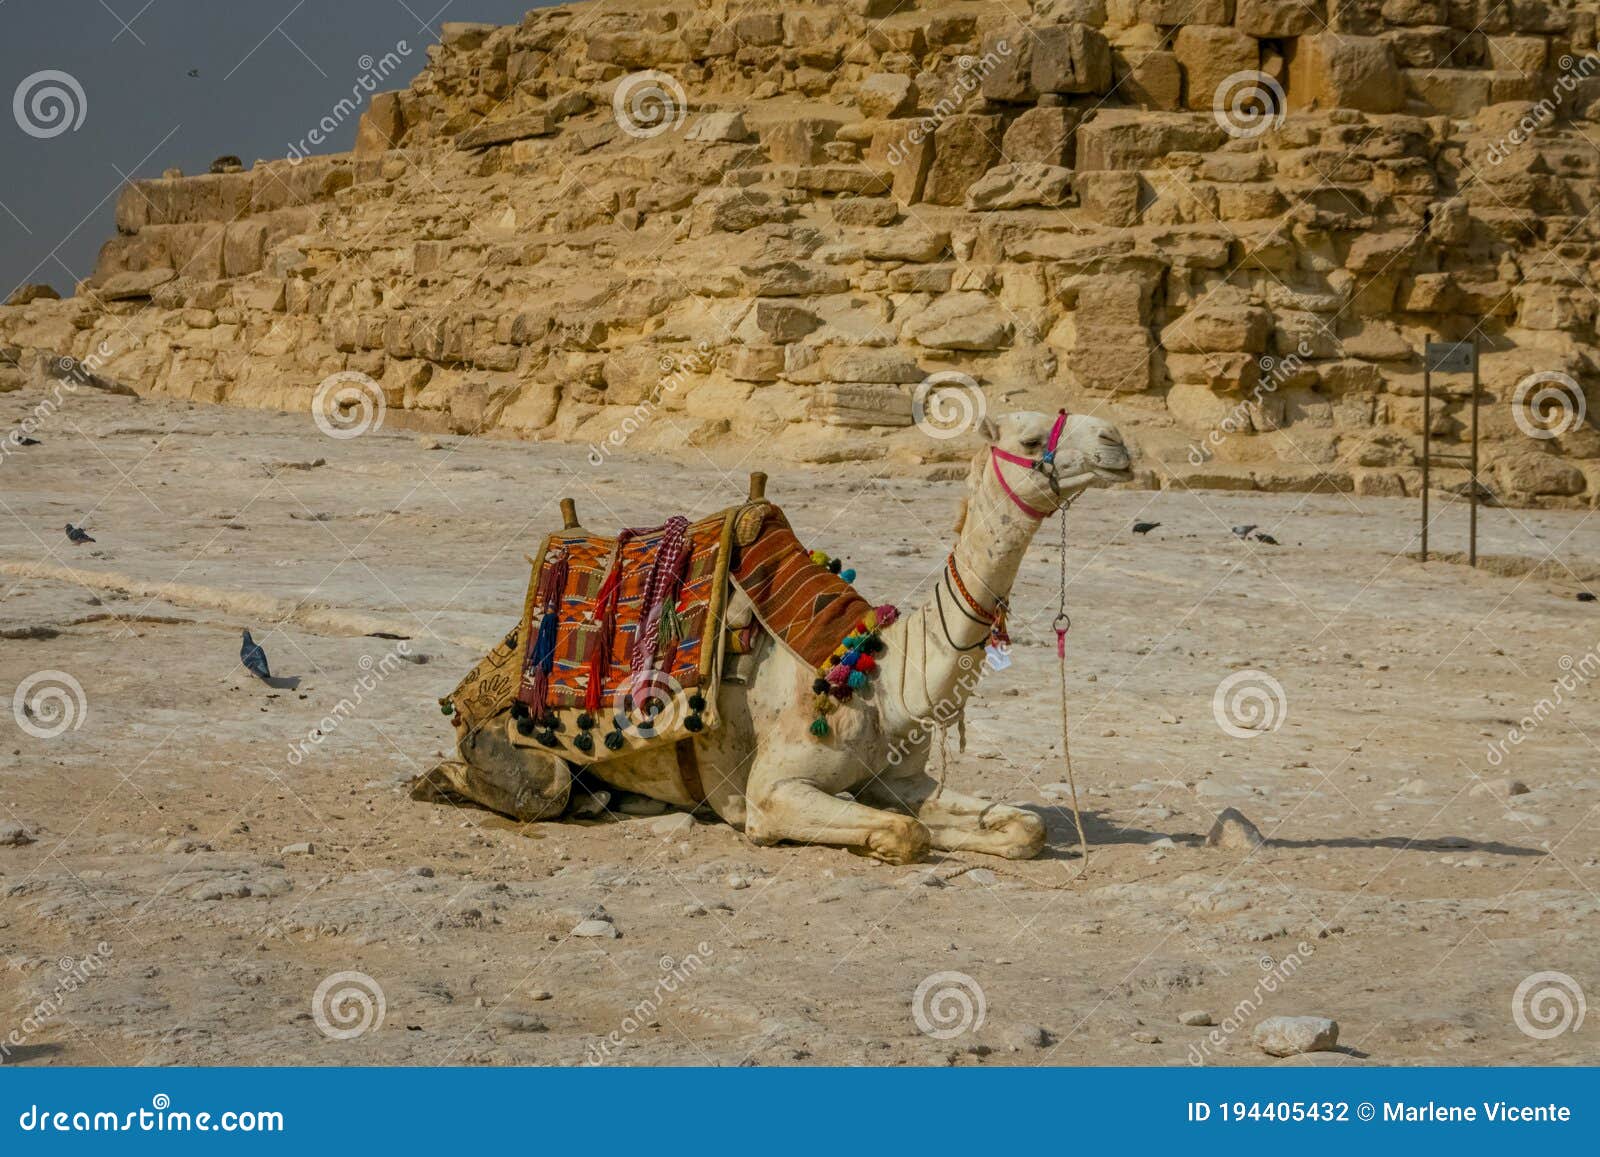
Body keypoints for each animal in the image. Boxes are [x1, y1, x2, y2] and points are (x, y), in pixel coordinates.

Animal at [429, 410, 1133, 863]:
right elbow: (905, 834)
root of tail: (468, 693)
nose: (1118, 439)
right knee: (528, 786)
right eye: (1032, 437)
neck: (878, 676)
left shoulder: (895, 781)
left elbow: (1024, 827)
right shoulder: (774, 789)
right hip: (516, 752)